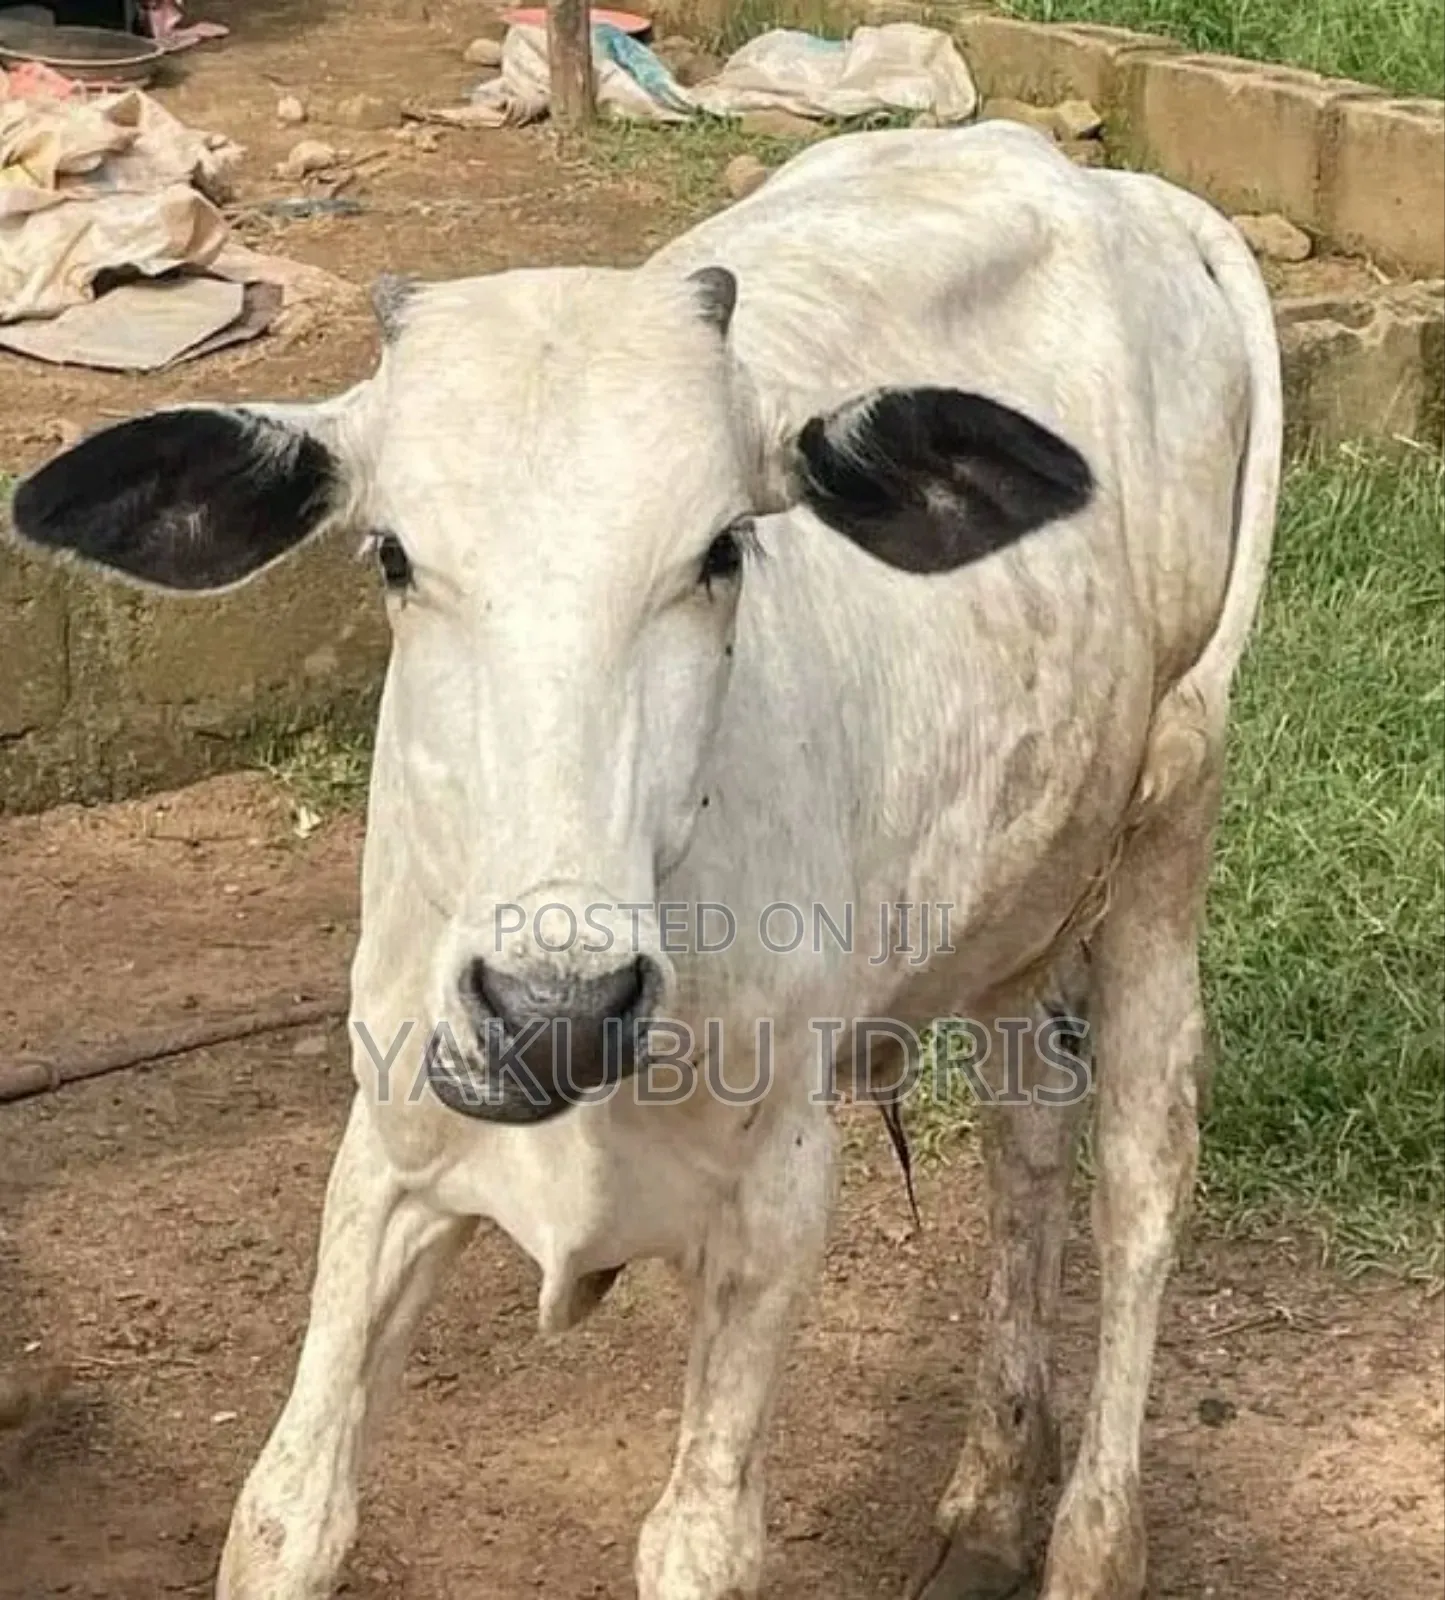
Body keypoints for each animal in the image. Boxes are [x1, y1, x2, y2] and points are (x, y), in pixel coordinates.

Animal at [9, 122, 1281, 1600]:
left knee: (1139, 1170)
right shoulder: (385, 1153)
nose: (553, 1007)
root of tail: (1113, 185)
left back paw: (1088, 1536)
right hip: (1022, 897)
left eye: (723, 549)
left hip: (1169, 825)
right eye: (391, 556)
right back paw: (983, 1500)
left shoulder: (778, 1199)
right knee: (1027, 1141)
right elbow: (286, 1511)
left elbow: (701, 1541)